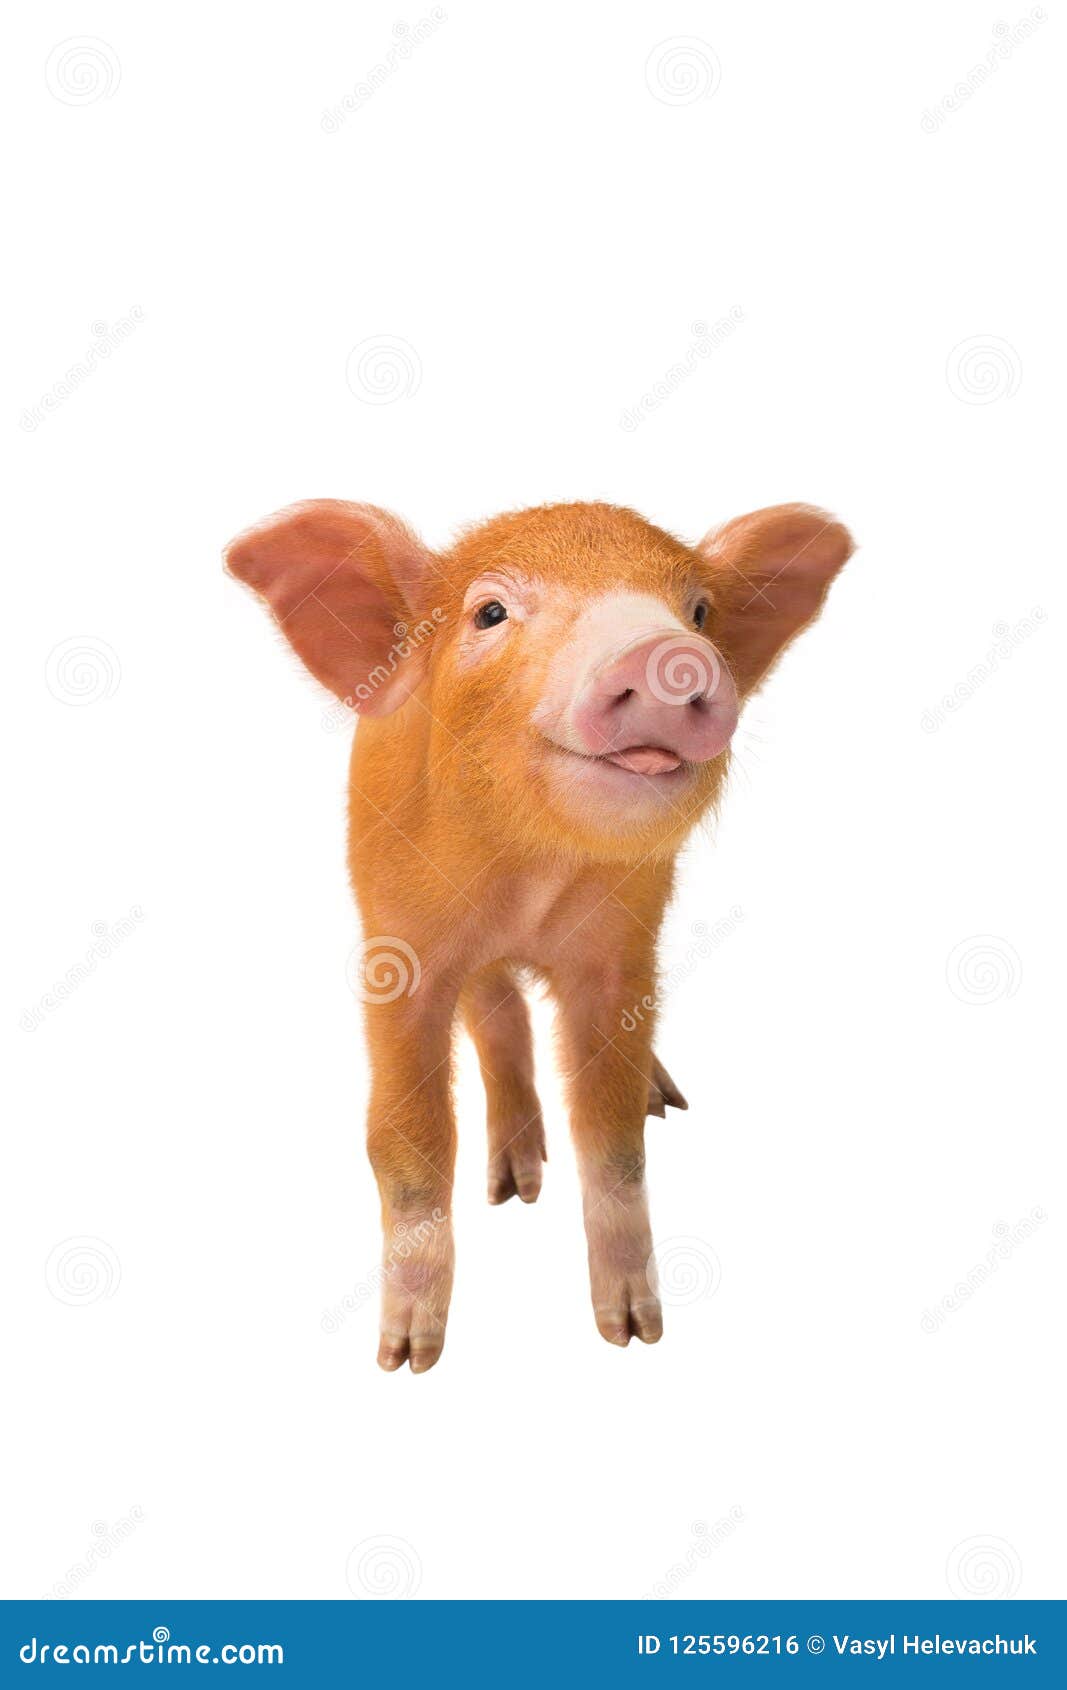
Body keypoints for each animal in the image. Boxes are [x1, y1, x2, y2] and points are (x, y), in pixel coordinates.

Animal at [226, 498, 853, 1371]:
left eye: (699, 612)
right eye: (489, 613)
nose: (666, 652)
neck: (527, 884)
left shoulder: (619, 953)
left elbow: (615, 1139)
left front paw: (633, 1332)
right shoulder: (399, 951)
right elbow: (407, 1138)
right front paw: (406, 1355)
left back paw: (658, 1100)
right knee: (497, 1009)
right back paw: (514, 1185)